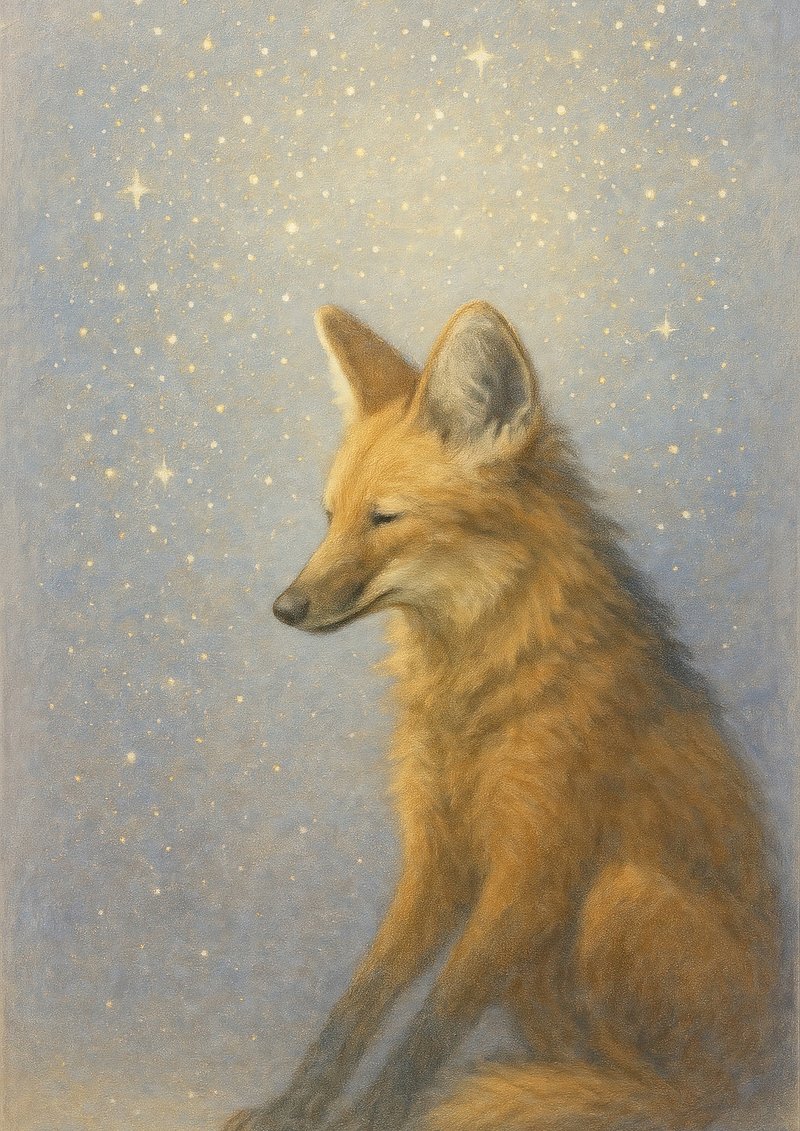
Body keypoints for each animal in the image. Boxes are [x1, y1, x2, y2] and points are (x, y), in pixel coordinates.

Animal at [224, 302, 780, 1131]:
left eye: (385, 517)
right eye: (330, 516)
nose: (284, 607)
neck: (473, 694)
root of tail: (771, 1048)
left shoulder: (532, 870)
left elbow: (434, 1020)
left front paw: (371, 1116)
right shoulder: (438, 854)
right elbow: (361, 999)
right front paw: (295, 1106)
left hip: (618, 896)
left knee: (678, 1093)